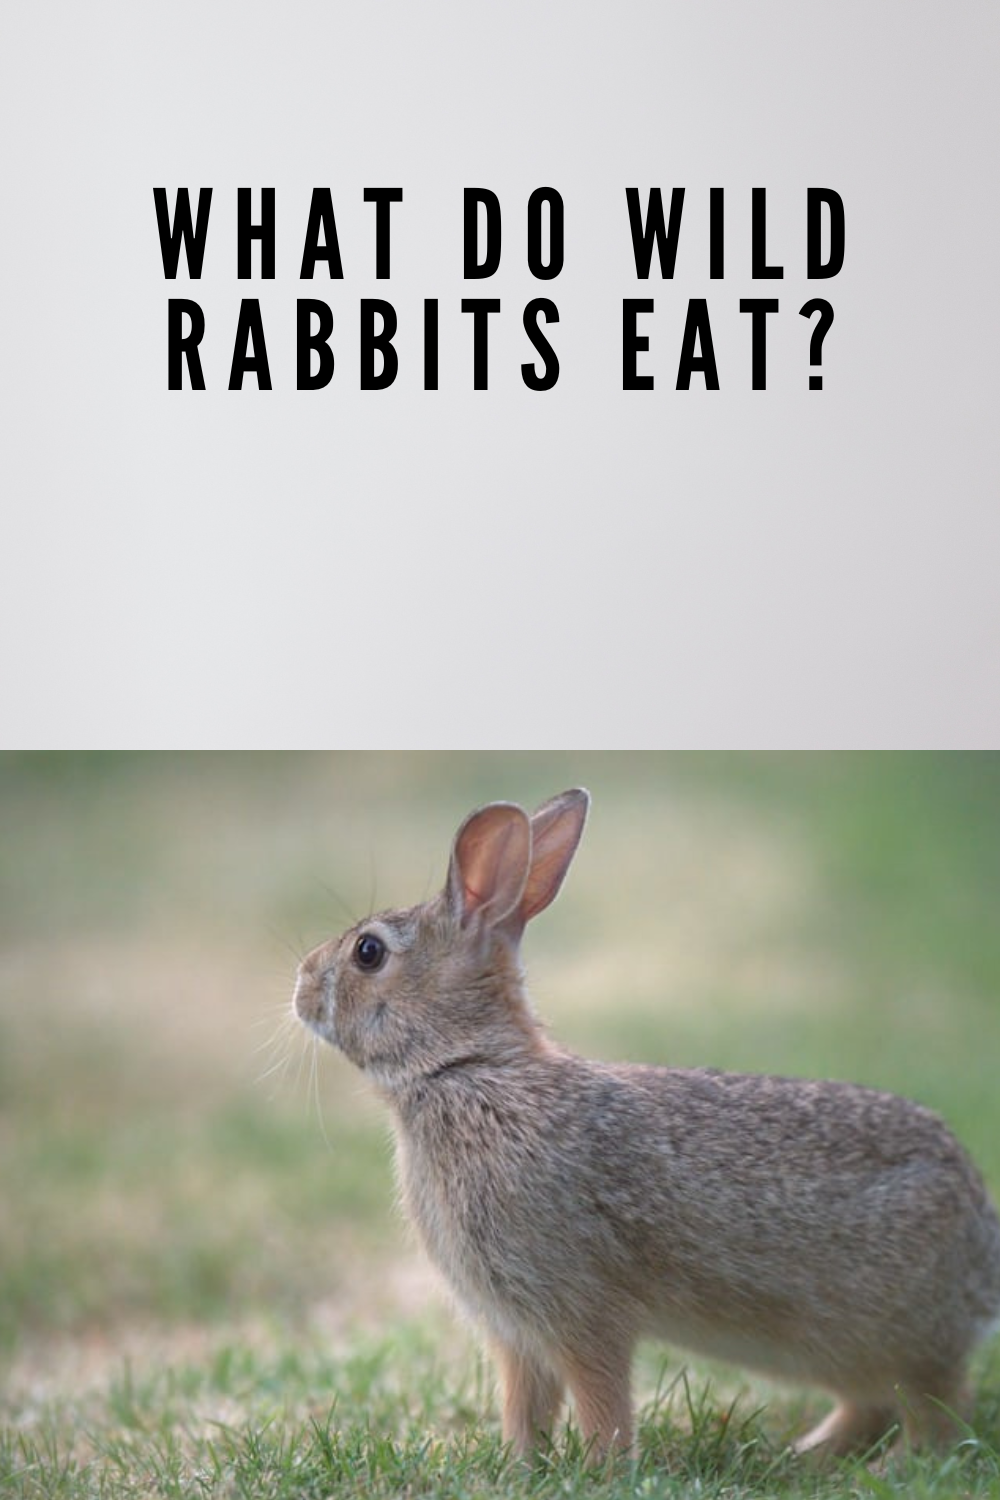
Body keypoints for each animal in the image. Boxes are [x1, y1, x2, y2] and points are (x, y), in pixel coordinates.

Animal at [293, 788, 1000, 1461]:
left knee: (939, 1411)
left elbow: (601, 1402)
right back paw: (808, 1457)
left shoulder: (580, 1311)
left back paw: (887, 1467)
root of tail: (980, 1246)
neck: (466, 1069)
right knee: (874, 1406)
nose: (299, 985)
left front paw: (603, 1472)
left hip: (895, 1334)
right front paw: (521, 1470)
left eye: (368, 952)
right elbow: (525, 1411)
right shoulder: (515, 1332)